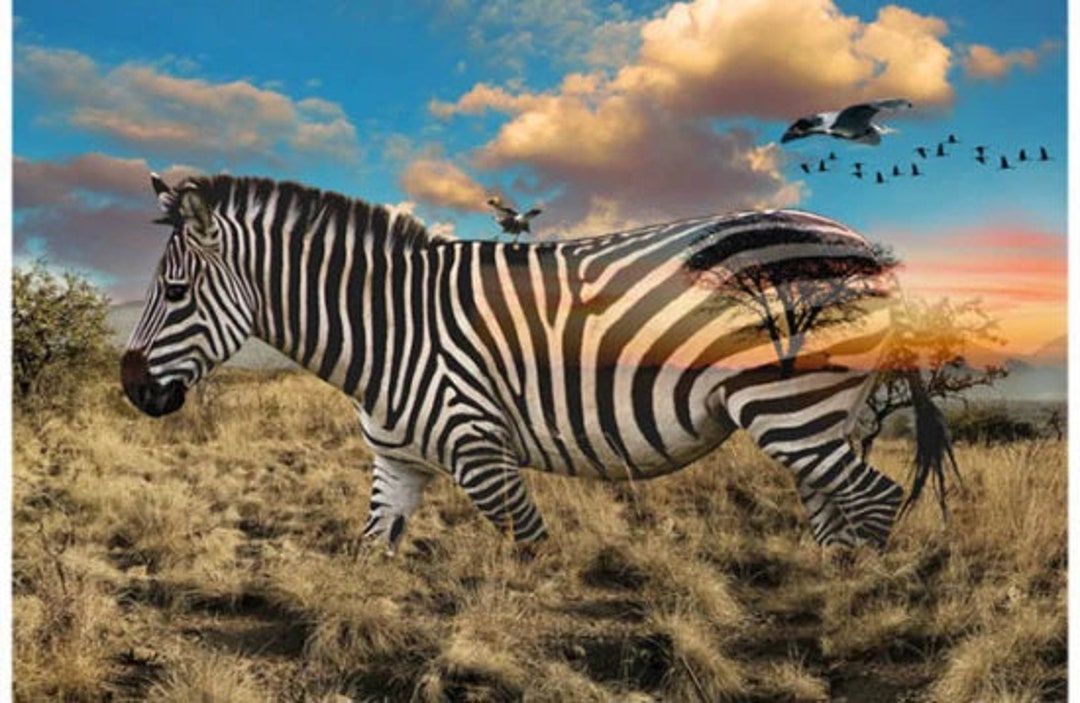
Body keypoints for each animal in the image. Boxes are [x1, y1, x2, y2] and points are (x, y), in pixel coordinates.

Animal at [122, 174, 956, 554]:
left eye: (174, 292)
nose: (130, 387)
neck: (386, 330)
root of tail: (864, 245)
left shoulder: (480, 449)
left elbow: (529, 555)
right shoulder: (397, 465)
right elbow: (366, 561)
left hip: (791, 405)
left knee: (876, 503)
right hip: (815, 419)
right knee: (837, 518)